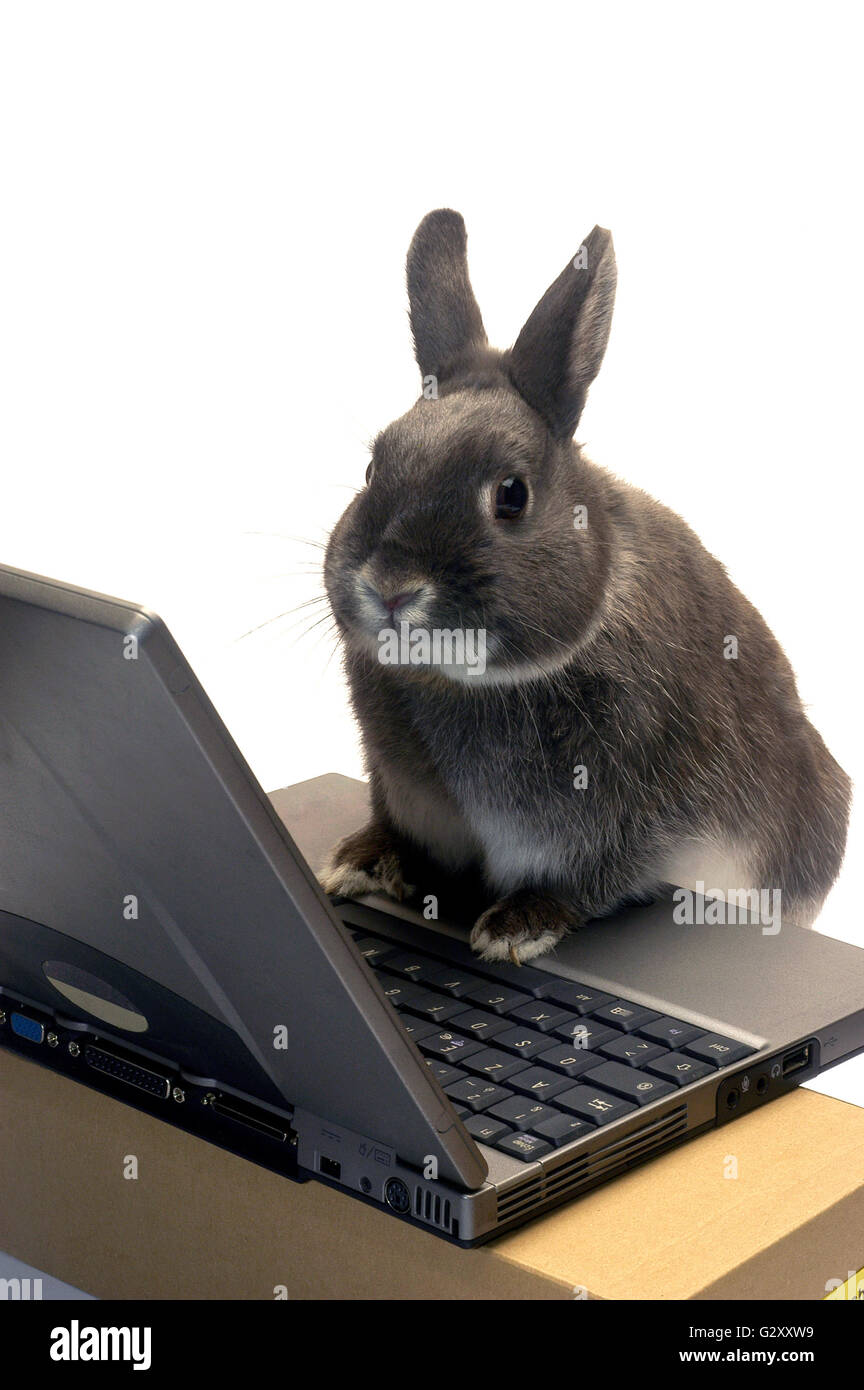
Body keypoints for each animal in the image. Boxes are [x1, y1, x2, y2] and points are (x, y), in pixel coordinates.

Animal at [320, 208, 851, 963]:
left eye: (512, 495)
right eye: (371, 470)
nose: (392, 588)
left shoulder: (641, 815)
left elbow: (590, 883)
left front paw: (516, 926)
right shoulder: (400, 794)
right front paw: (356, 862)